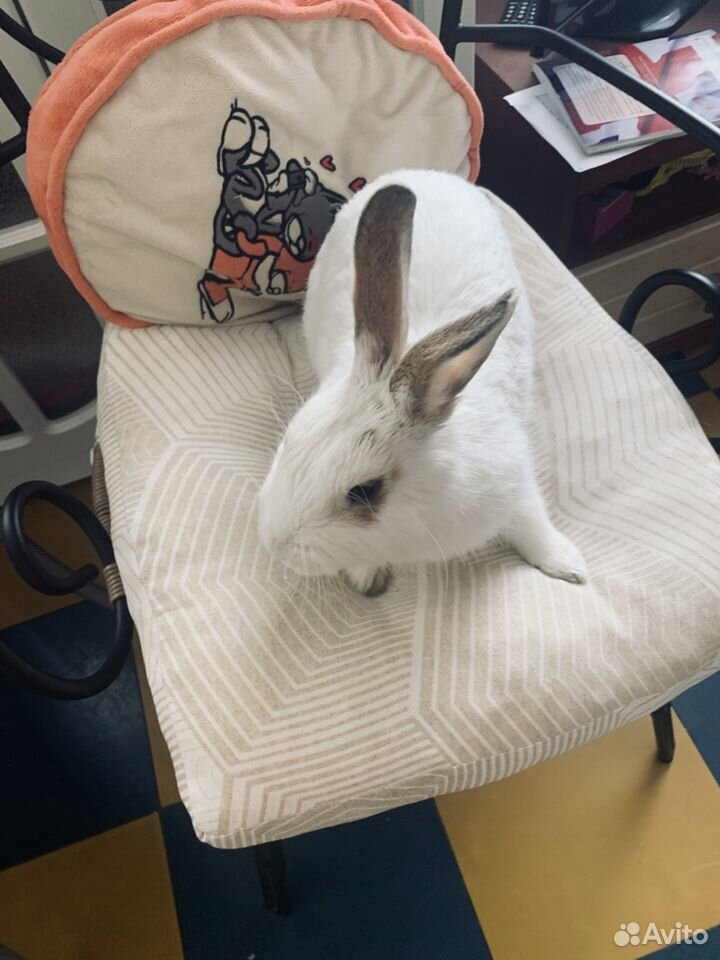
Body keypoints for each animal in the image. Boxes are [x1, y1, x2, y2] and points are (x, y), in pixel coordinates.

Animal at [258, 170, 587, 596]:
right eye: (287, 442)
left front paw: (568, 565)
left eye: (364, 491)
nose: (274, 543)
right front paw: (367, 576)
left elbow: (531, 522)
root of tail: (421, 172)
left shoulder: (513, 482)